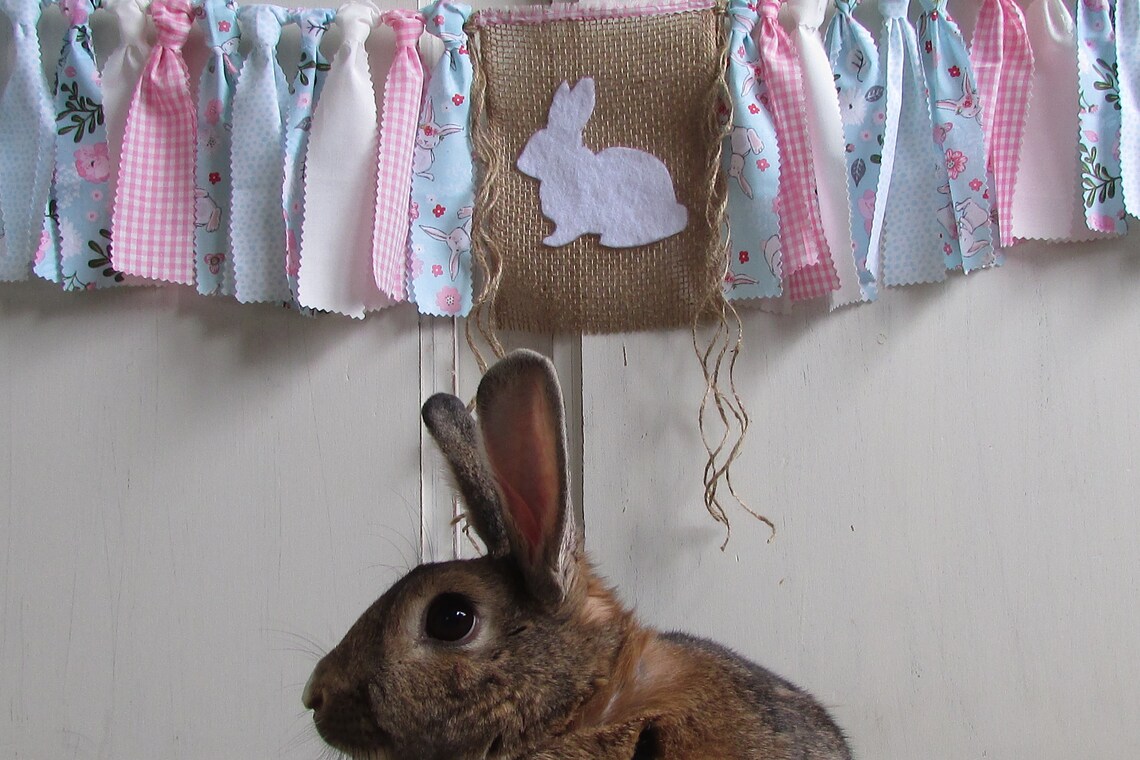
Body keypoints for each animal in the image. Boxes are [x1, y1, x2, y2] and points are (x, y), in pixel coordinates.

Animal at [516, 78, 688, 248]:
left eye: (539, 147)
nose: (520, 163)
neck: (568, 163)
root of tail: (674, 206)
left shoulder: (575, 218)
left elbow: (567, 232)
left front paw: (550, 241)